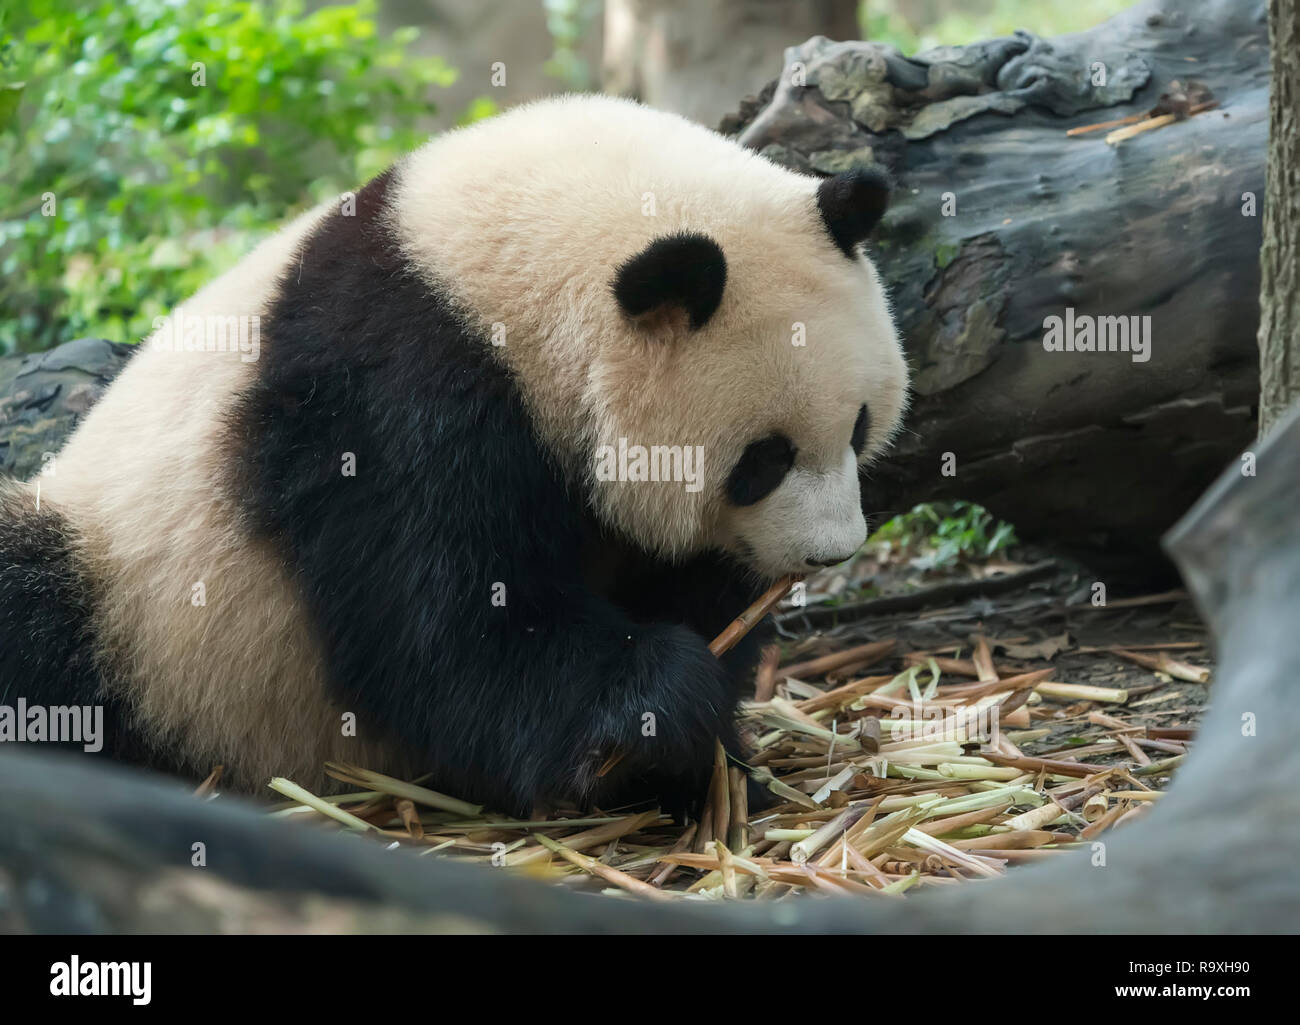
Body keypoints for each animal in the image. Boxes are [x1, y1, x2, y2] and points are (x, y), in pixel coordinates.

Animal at [0, 96, 908, 817]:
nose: (832, 553)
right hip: (133, 610)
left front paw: (703, 764)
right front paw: (654, 702)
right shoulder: (389, 388)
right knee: (39, 614)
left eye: (859, 426)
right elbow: (446, 621)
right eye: (763, 458)